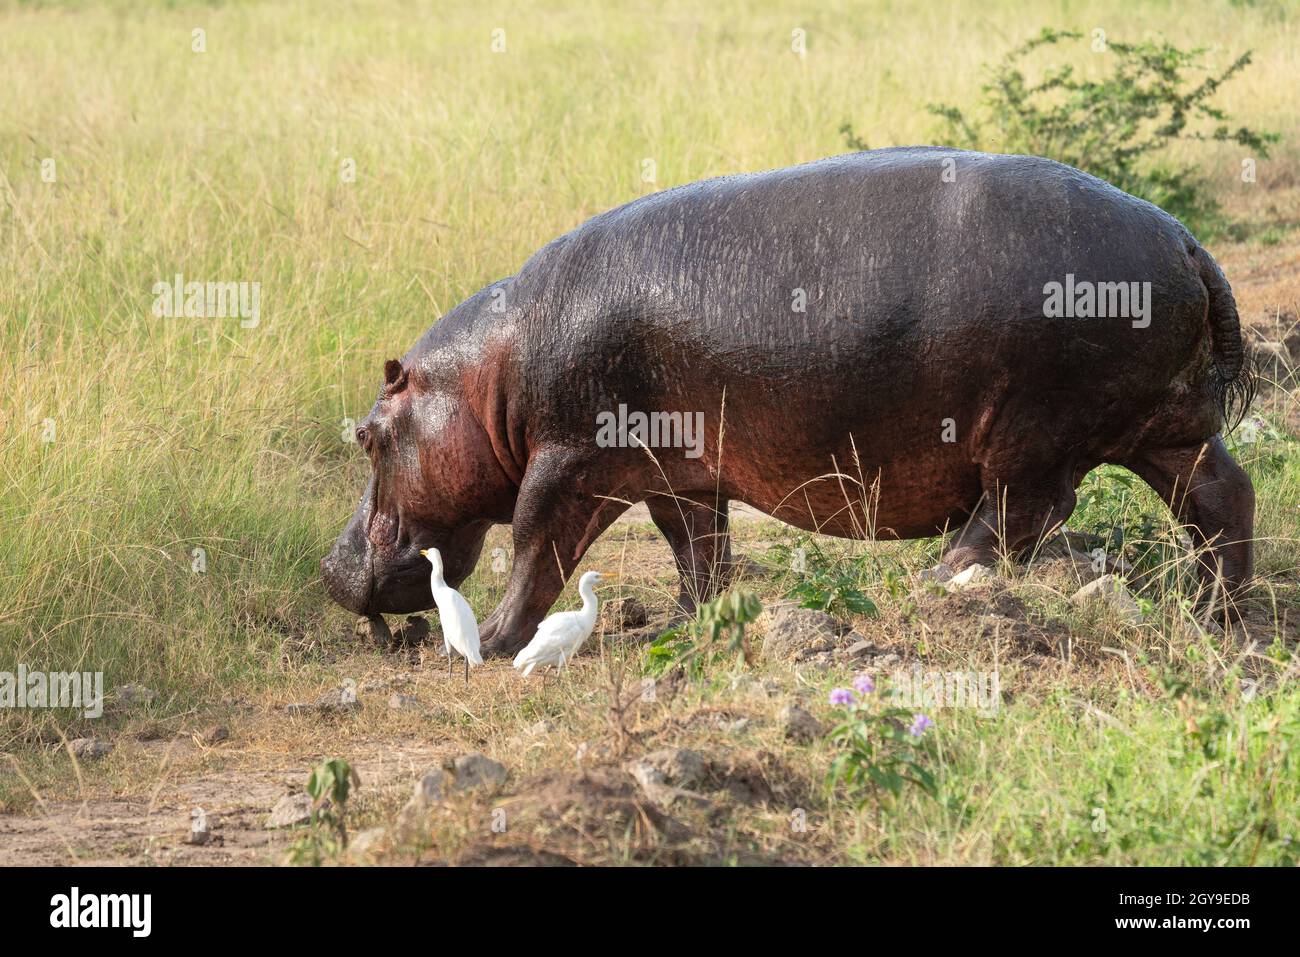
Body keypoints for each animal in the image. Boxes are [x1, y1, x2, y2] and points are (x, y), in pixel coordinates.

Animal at [321, 147, 1257, 654]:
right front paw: (691, 623)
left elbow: (533, 544)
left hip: (1035, 429)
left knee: (1022, 512)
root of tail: (1187, 239)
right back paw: (1221, 616)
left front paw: (491, 644)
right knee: (1220, 493)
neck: (490, 372)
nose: (329, 566)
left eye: (368, 436)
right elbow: (697, 550)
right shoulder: (677, 472)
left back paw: (936, 579)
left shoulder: (569, 456)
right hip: (1158, 425)